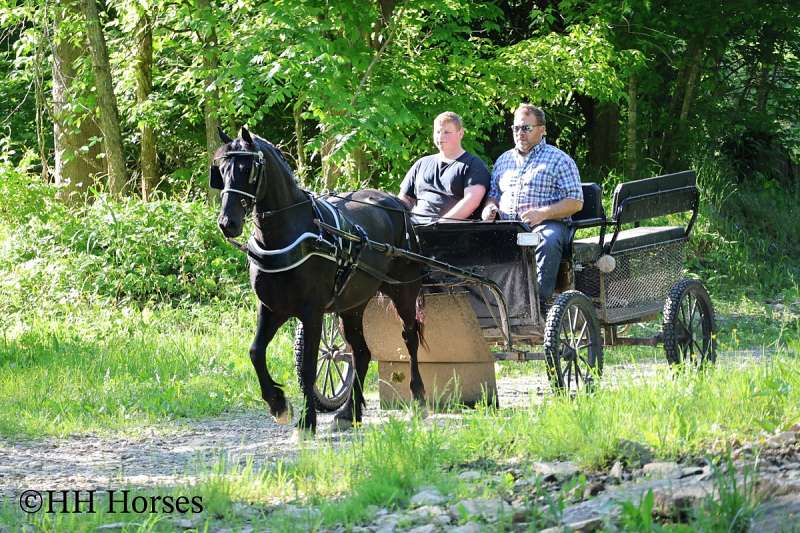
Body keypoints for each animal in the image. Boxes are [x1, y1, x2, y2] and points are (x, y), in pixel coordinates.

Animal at [210, 126, 426, 436]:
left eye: (247, 169)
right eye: (221, 170)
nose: (228, 223)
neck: (289, 235)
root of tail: (397, 205)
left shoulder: (311, 312)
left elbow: (309, 367)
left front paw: (306, 421)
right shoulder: (271, 308)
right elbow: (255, 352)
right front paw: (278, 404)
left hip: (404, 292)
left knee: (409, 338)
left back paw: (418, 399)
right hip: (352, 305)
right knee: (361, 352)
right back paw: (348, 413)